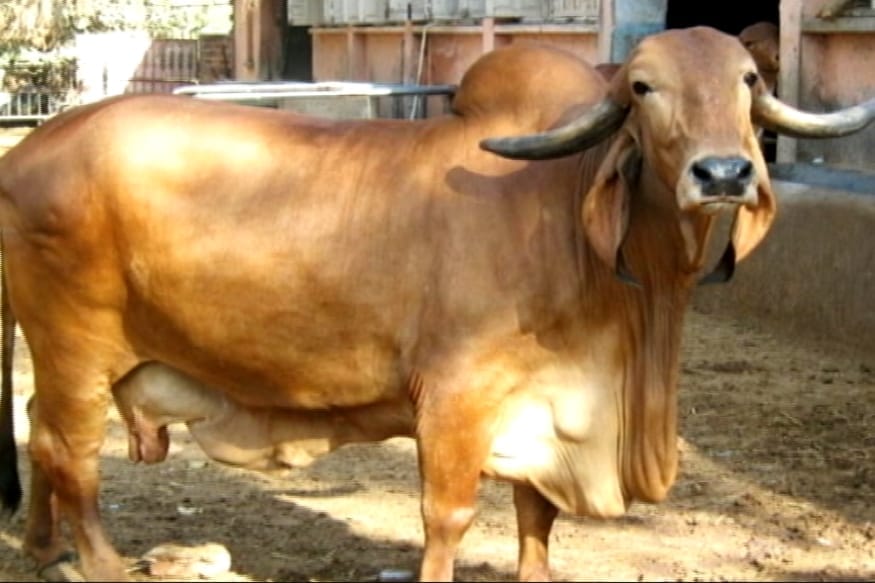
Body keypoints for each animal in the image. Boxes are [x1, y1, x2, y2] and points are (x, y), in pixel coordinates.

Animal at [0, 26, 873, 582]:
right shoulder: (455, 397)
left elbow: (535, 515)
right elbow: (447, 515)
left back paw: (41, 548)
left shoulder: (546, 404)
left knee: (38, 430)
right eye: (642, 87)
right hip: (77, 345)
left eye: (747, 81)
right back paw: (100, 563)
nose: (723, 173)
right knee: (69, 450)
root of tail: (30, 148)